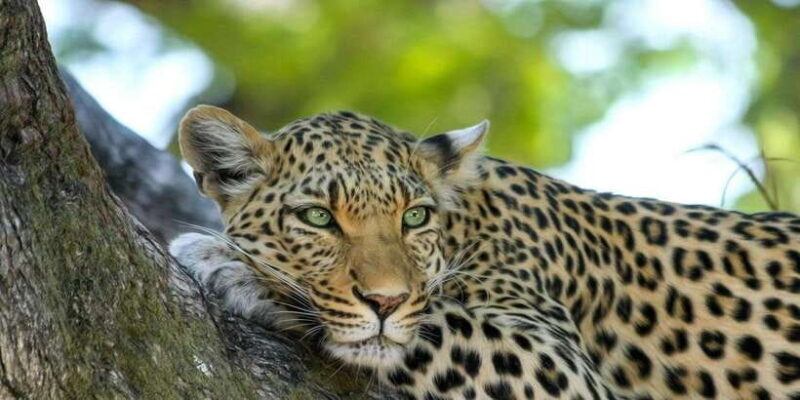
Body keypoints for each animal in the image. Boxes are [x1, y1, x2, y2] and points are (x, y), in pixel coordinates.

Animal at [169, 105, 800, 400]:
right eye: (318, 218)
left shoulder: (560, 369)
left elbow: (437, 323)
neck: (467, 225)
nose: (385, 301)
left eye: (414, 217)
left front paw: (234, 267)